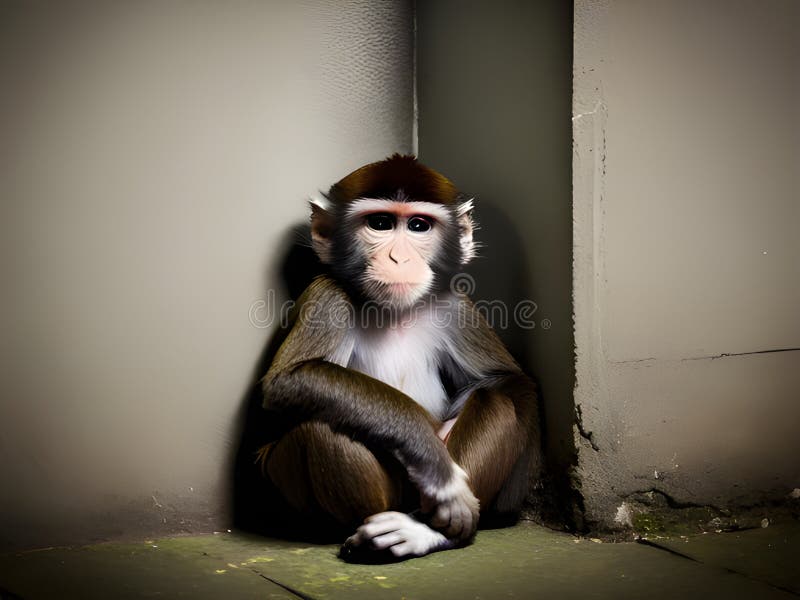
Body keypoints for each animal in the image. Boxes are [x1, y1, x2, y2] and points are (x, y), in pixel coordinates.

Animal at [259, 154, 541, 561]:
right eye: (380, 223)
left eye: (419, 225)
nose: (399, 257)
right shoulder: (327, 294)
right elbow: (291, 380)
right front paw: (439, 469)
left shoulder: (454, 305)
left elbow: (505, 380)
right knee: (319, 426)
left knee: (497, 401)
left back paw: (421, 531)